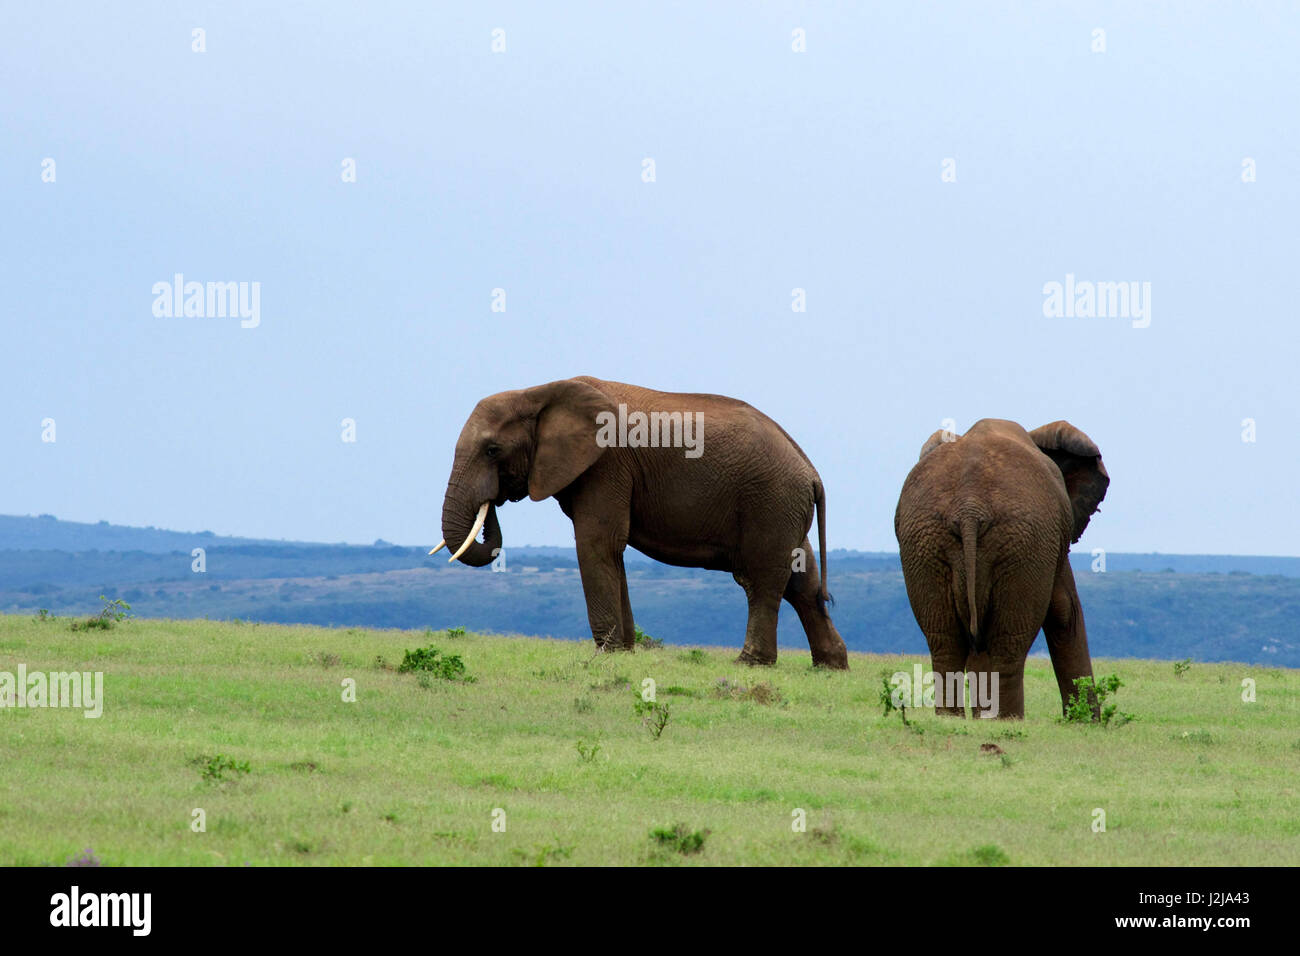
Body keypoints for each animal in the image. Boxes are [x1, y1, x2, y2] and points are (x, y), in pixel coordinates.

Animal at [433, 376, 849, 669]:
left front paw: (606, 655)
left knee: (761, 579)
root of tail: (812, 472)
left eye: (492, 450)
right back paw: (831, 667)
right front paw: (625, 653)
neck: (538, 391)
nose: (494, 501)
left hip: (770, 501)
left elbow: (597, 543)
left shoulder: (606, 464)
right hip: (784, 508)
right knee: (803, 580)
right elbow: (612, 550)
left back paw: (749, 664)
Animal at [893, 419, 1109, 719]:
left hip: (924, 543)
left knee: (945, 639)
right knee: (1009, 641)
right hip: (1025, 543)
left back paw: (953, 719)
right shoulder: (1054, 539)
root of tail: (969, 508)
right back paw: (1006, 721)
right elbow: (1065, 610)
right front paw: (1086, 722)